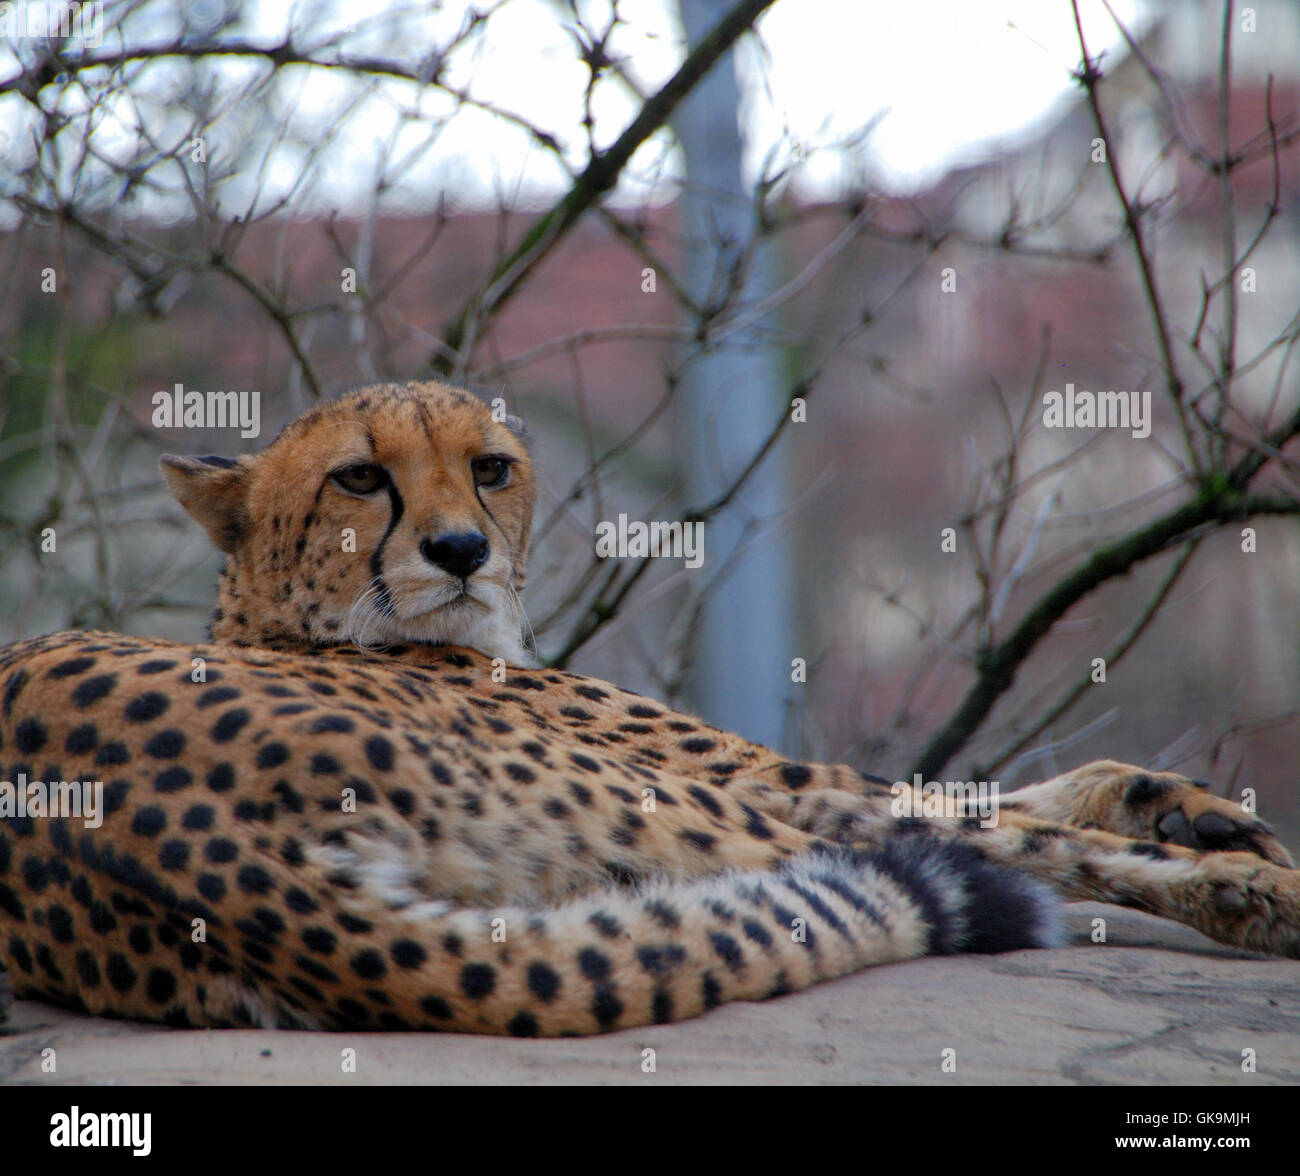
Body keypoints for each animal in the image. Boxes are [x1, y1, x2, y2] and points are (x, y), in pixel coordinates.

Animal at [0, 379, 1296, 1037]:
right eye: (360, 477)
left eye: (490, 467)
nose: (461, 550)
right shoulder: (755, 776)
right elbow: (985, 812)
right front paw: (1219, 849)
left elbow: (1002, 788)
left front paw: (1182, 802)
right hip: (673, 808)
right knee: (970, 860)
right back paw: (1255, 902)